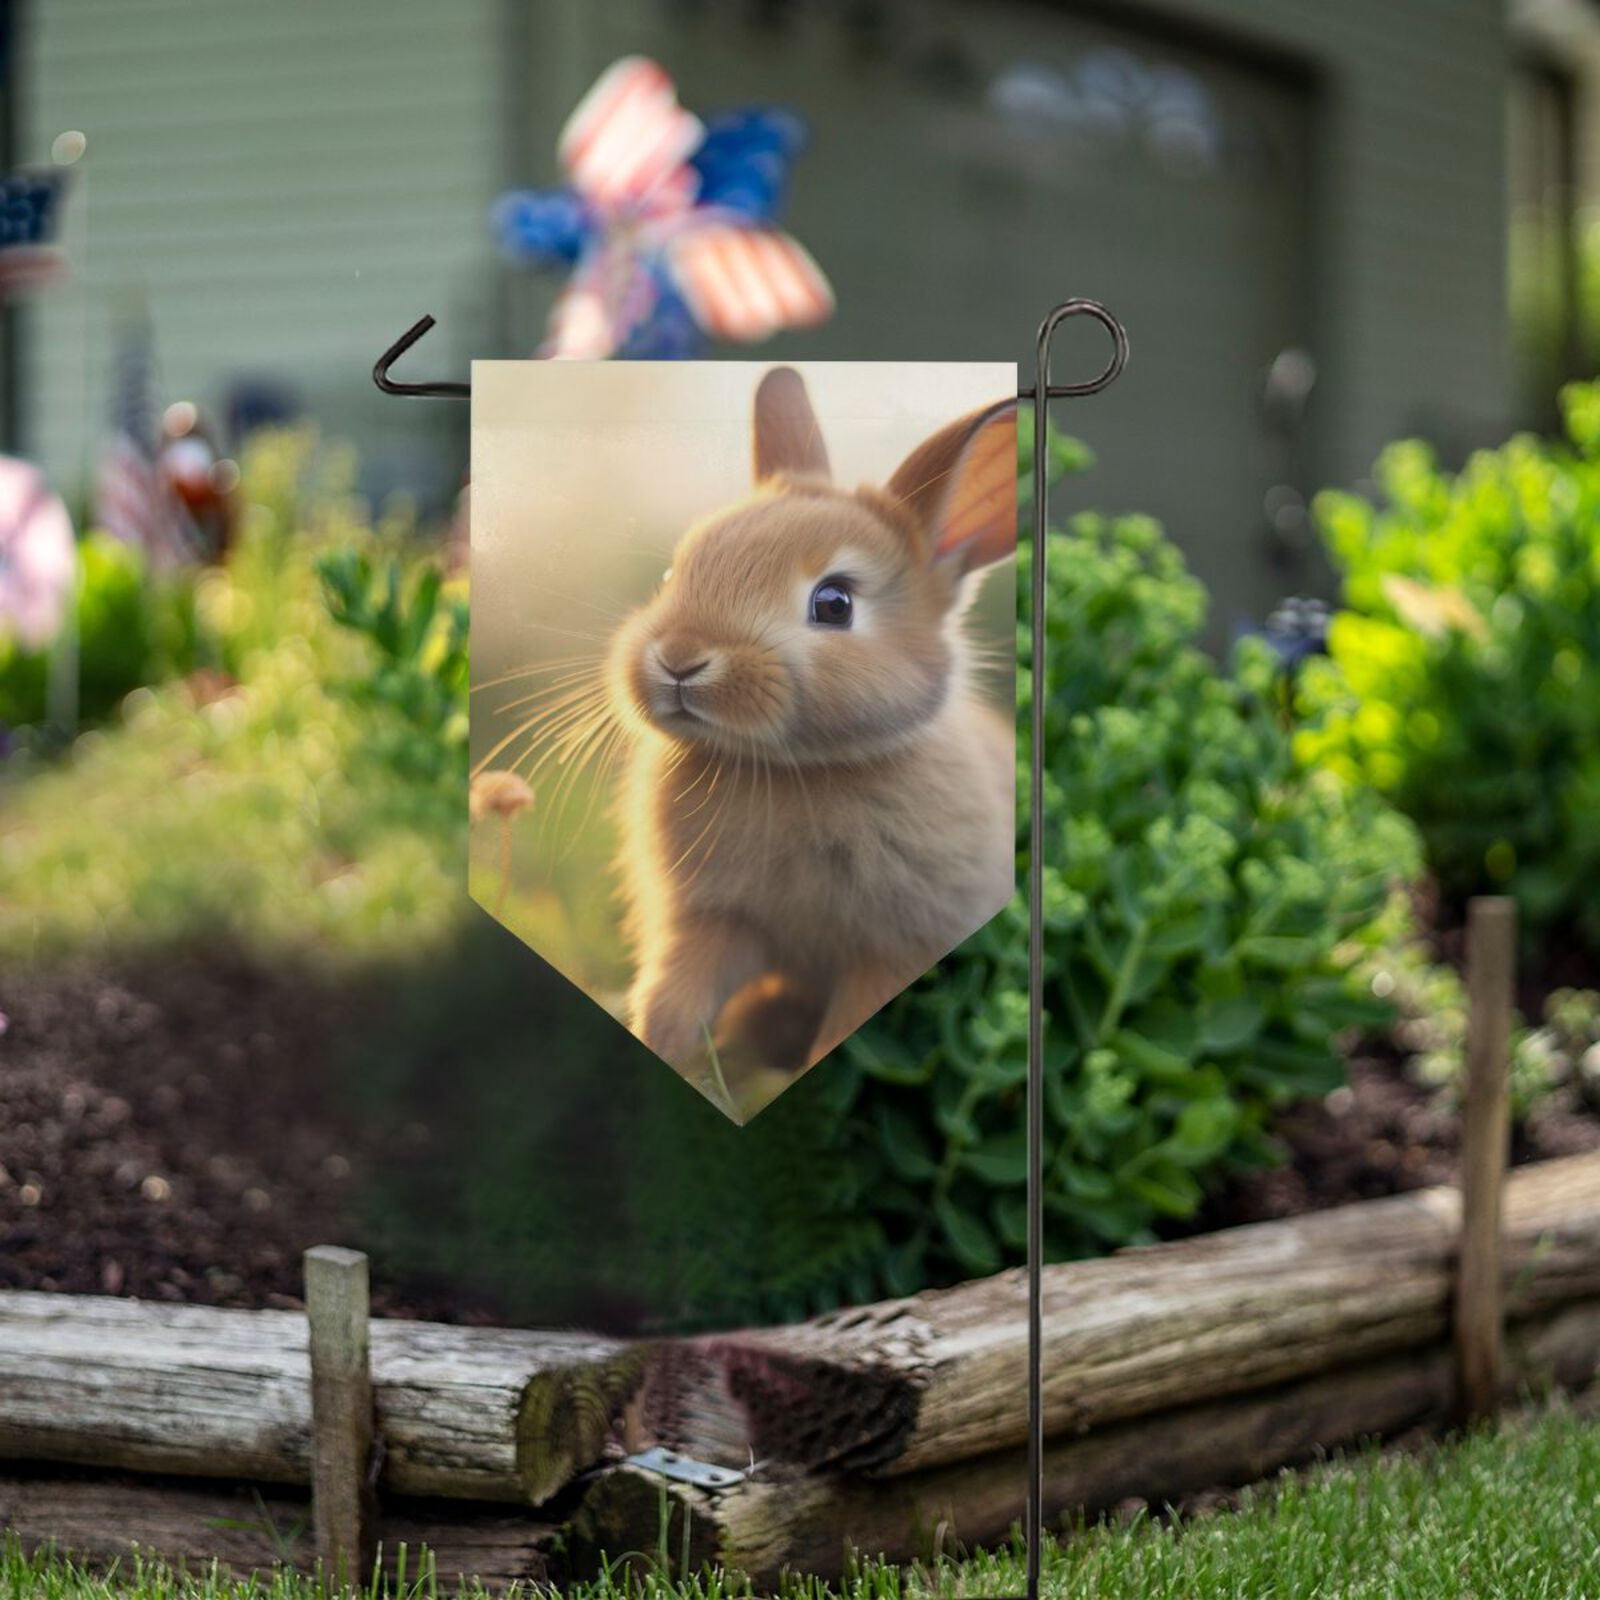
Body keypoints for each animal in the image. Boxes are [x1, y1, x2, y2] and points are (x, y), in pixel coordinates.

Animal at [607, 366, 1017, 1092]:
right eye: (674, 572)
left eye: (834, 604)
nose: (680, 659)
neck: (794, 769)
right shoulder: (717, 921)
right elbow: (679, 990)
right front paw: (660, 1047)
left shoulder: (895, 948)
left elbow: (848, 1027)